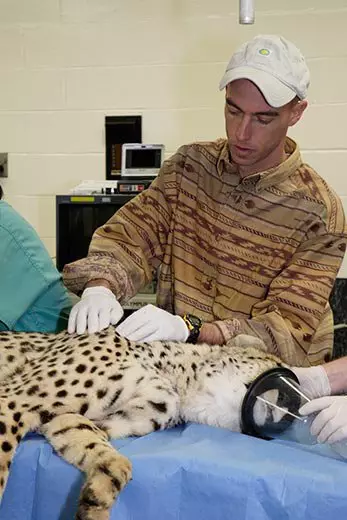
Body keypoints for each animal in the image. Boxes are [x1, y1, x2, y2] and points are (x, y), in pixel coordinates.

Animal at [0, 328, 286, 516]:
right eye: (278, 368)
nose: (284, 412)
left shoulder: (63, 419)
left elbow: (111, 457)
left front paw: (96, 500)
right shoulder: (13, 400)